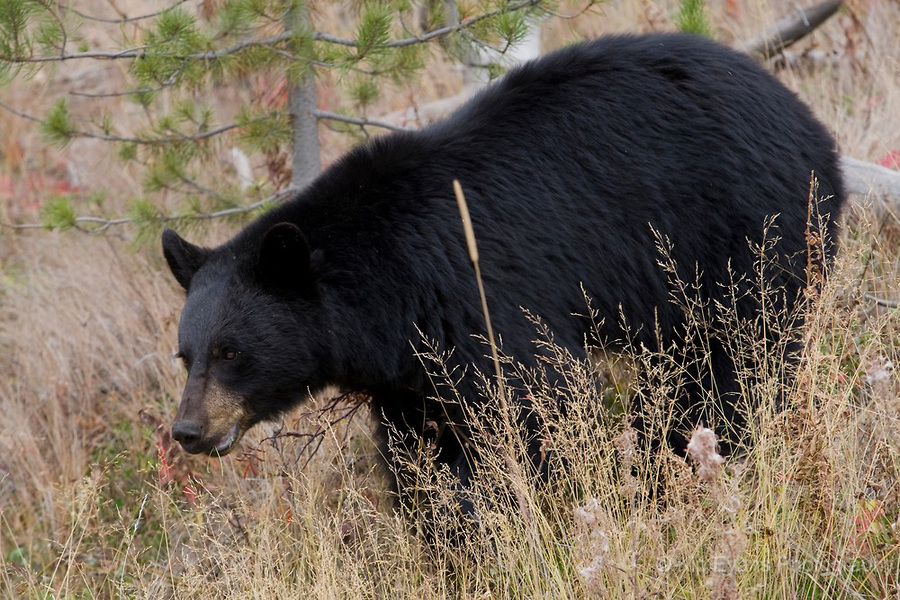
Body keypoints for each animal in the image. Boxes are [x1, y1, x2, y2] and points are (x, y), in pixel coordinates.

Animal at [162, 33, 845, 500]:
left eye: (230, 351)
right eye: (185, 354)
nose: (187, 429)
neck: (386, 285)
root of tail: (808, 119)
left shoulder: (475, 296)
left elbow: (536, 404)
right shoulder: (407, 372)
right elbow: (419, 447)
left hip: (749, 235)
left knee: (742, 362)